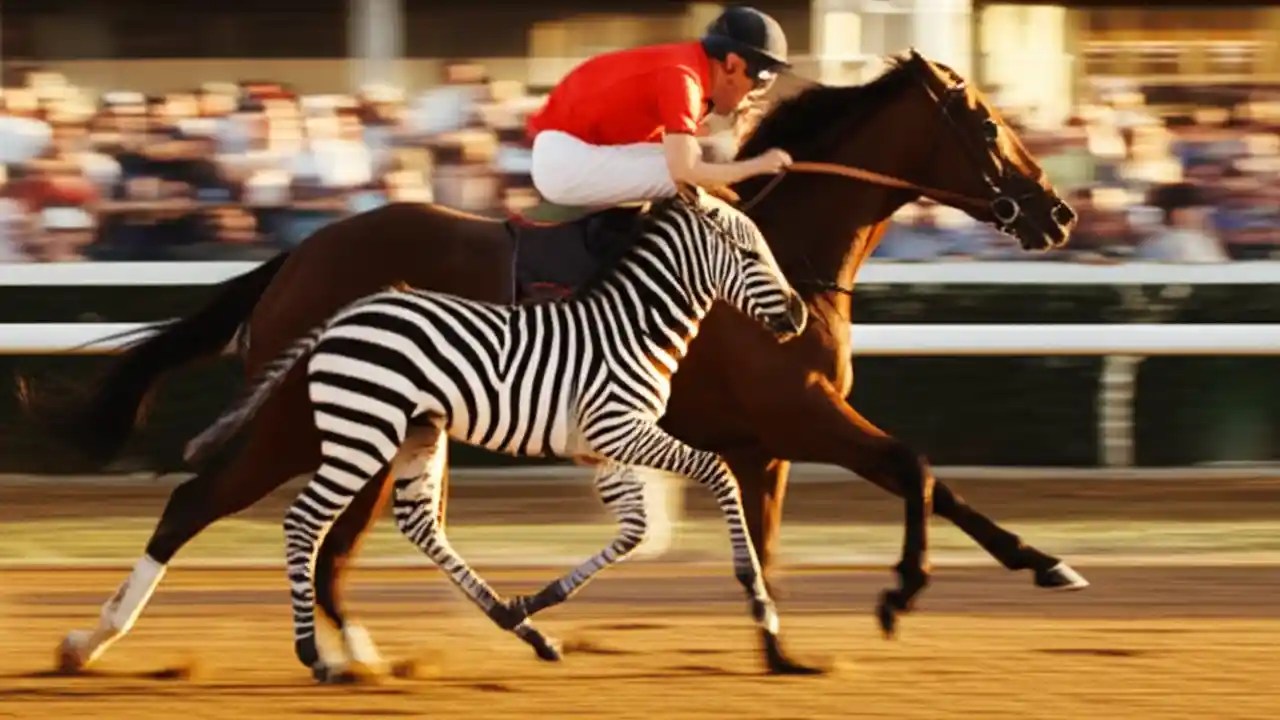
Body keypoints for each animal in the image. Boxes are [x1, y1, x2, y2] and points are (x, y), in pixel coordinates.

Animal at [184, 187, 810, 681]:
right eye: (751, 252)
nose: (800, 315)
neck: (630, 330)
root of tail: (347, 311)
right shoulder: (621, 429)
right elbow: (718, 475)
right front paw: (759, 601)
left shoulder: (610, 447)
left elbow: (635, 530)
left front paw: (539, 599)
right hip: (355, 433)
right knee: (296, 518)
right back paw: (315, 655)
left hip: (412, 432)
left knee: (415, 524)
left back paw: (518, 626)